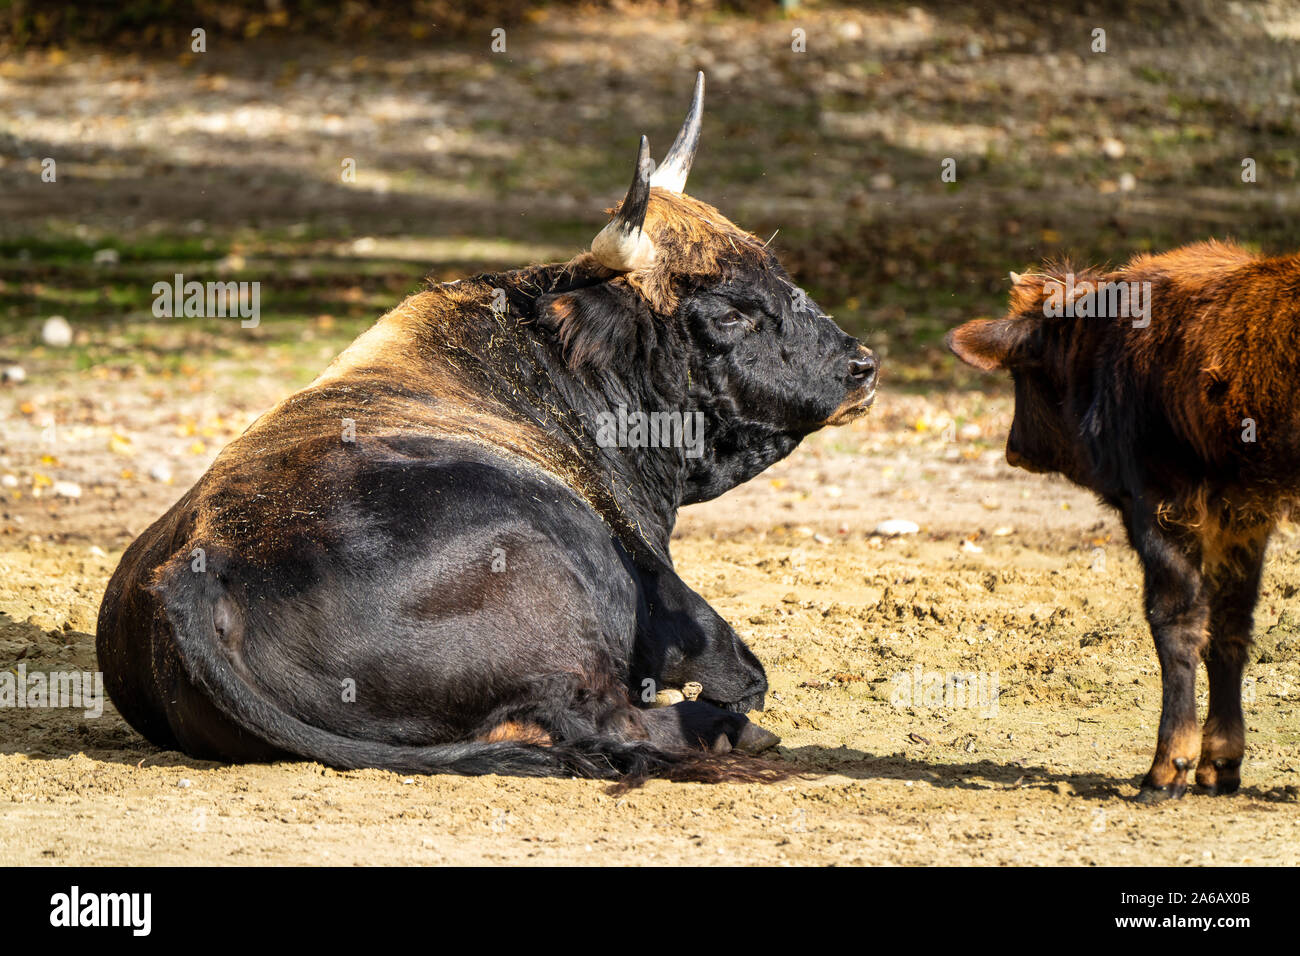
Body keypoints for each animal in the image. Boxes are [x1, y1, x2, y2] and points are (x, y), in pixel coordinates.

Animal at [96, 74, 879, 782]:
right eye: (729, 314)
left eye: (777, 270)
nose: (860, 366)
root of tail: (203, 564)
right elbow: (743, 670)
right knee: (603, 718)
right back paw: (726, 732)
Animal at [947, 239, 1299, 801]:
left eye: (1022, 373)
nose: (1013, 446)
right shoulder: (1242, 515)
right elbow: (1230, 625)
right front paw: (1220, 764)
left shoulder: (1160, 504)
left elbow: (1175, 624)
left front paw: (1167, 768)